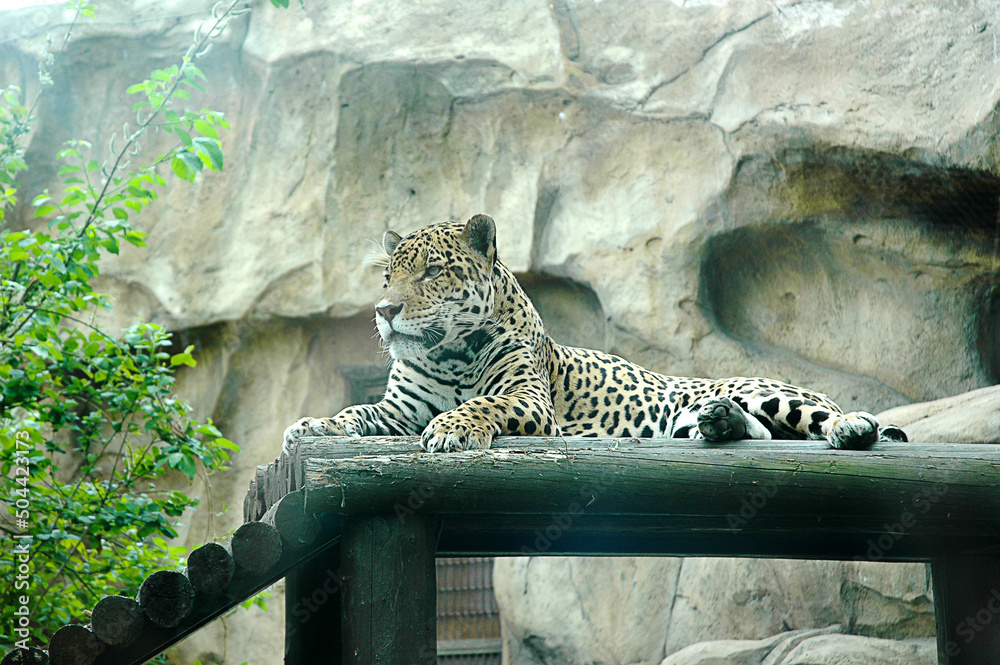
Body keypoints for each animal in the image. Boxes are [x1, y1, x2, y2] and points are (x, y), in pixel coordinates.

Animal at [282, 214, 907, 453]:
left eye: (432, 272)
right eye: (388, 276)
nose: (385, 310)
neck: (448, 354)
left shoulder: (526, 398)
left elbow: (481, 405)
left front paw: (453, 428)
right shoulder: (398, 410)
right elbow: (357, 413)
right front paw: (311, 426)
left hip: (775, 392)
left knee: (831, 419)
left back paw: (851, 427)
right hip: (696, 422)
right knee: (754, 433)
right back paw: (721, 422)